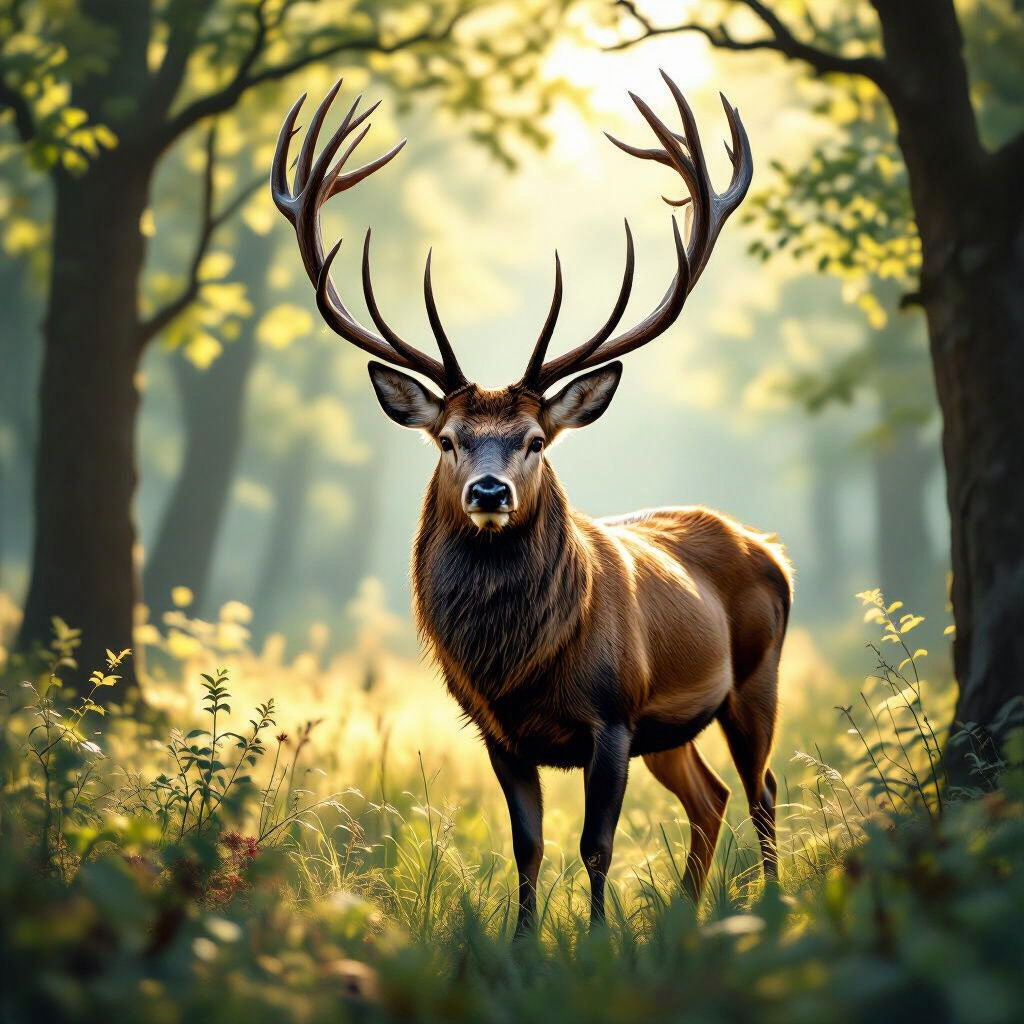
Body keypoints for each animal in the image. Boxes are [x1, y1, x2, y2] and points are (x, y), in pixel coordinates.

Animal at [271, 72, 792, 934]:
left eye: (537, 440)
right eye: (449, 440)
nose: (490, 490)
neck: (520, 666)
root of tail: (770, 546)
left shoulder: (612, 716)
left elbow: (596, 847)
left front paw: (598, 943)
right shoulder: (499, 732)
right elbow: (528, 847)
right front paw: (522, 945)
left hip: (755, 677)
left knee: (763, 790)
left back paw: (774, 906)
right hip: (671, 729)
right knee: (711, 798)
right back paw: (686, 916)